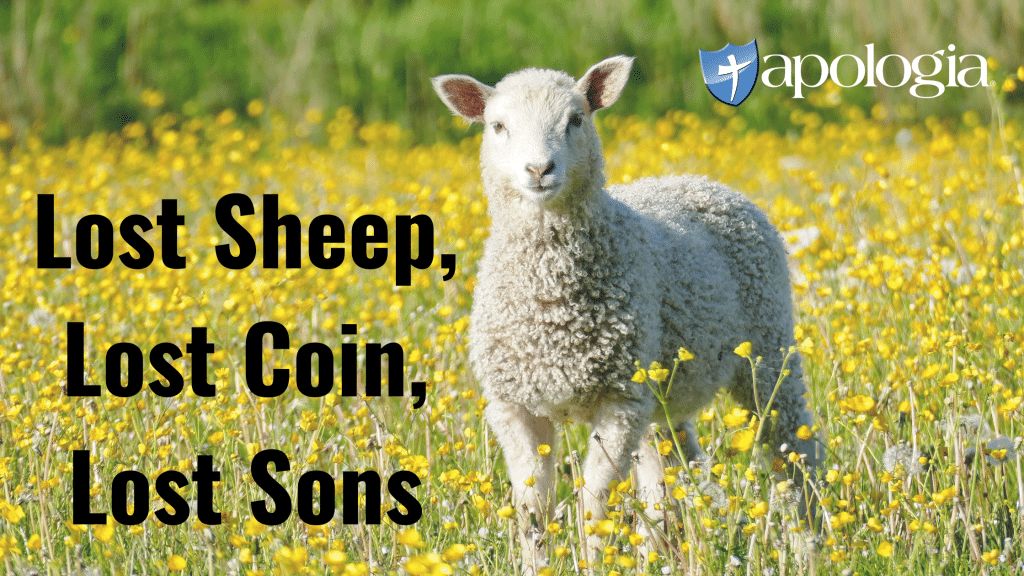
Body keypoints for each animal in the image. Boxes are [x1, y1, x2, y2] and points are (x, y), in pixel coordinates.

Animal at [432, 56, 819, 573]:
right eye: (497, 126)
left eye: (576, 120)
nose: (539, 169)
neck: (551, 305)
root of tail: (701, 181)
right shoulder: (514, 404)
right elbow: (533, 507)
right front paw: (539, 564)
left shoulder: (619, 399)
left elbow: (595, 503)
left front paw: (593, 560)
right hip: (663, 390)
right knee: (672, 469)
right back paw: (672, 551)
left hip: (768, 349)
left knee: (792, 450)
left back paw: (811, 544)